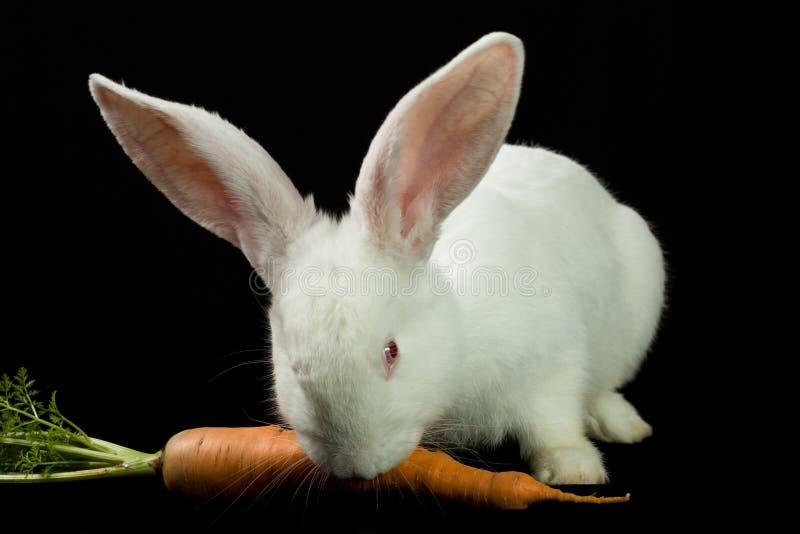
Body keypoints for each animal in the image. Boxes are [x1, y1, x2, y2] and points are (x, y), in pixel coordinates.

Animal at [89, 31, 665, 485]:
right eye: (293, 365)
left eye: (392, 352)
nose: (355, 468)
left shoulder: (550, 361)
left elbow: (553, 420)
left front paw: (573, 470)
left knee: (604, 388)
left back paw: (624, 425)